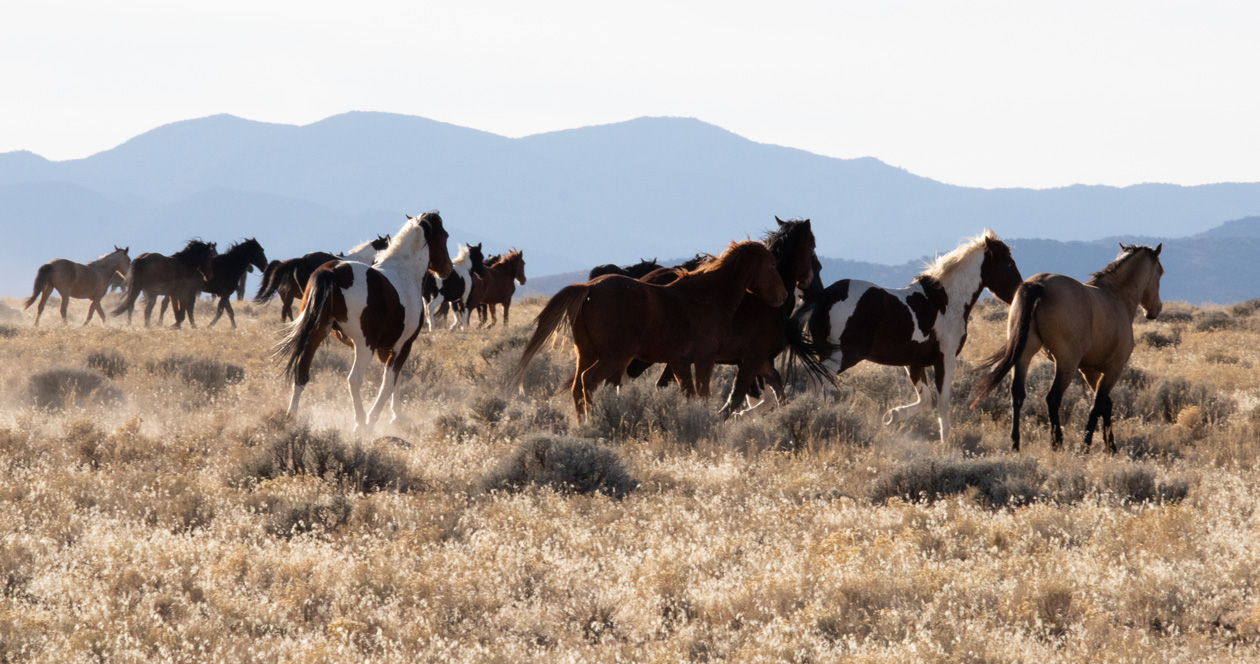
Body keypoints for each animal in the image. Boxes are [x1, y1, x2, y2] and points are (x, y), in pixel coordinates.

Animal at [277, 213, 452, 433]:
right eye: (444, 236)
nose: (448, 269)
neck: (404, 271)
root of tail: (332, 272)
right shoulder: (402, 346)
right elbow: (389, 382)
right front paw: (373, 419)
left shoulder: (385, 348)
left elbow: (395, 379)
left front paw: (397, 415)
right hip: (363, 346)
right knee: (354, 379)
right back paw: (361, 422)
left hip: (315, 335)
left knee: (301, 372)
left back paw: (291, 417)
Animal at [513, 241, 787, 420]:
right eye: (772, 264)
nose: (783, 296)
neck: (708, 296)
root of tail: (589, 288)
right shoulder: (704, 360)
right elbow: (702, 394)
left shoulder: (678, 362)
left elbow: (689, 394)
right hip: (615, 355)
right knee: (588, 381)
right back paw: (593, 422)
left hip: (587, 353)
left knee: (577, 387)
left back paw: (582, 424)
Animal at [626, 218, 820, 416]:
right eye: (812, 246)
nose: (810, 278)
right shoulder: (754, 356)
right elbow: (743, 393)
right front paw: (736, 416)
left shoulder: (759, 358)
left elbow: (773, 388)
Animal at [789, 230, 1022, 444]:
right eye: (1009, 264)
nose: (1020, 293)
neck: (946, 301)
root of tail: (826, 295)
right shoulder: (944, 359)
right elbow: (943, 402)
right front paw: (945, 444)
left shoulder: (914, 363)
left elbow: (926, 400)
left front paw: (892, 416)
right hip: (844, 356)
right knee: (816, 380)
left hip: (828, 354)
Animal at [972, 243, 1164, 452]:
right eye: (1160, 272)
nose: (1156, 310)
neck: (1115, 295)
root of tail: (1039, 284)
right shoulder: (1113, 369)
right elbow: (1097, 404)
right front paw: (1087, 445)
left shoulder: (1089, 370)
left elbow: (1106, 403)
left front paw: (1110, 445)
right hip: (1066, 363)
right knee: (1053, 398)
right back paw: (1057, 442)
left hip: (1024, 355)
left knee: (1017, 394)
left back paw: (1015, 443)